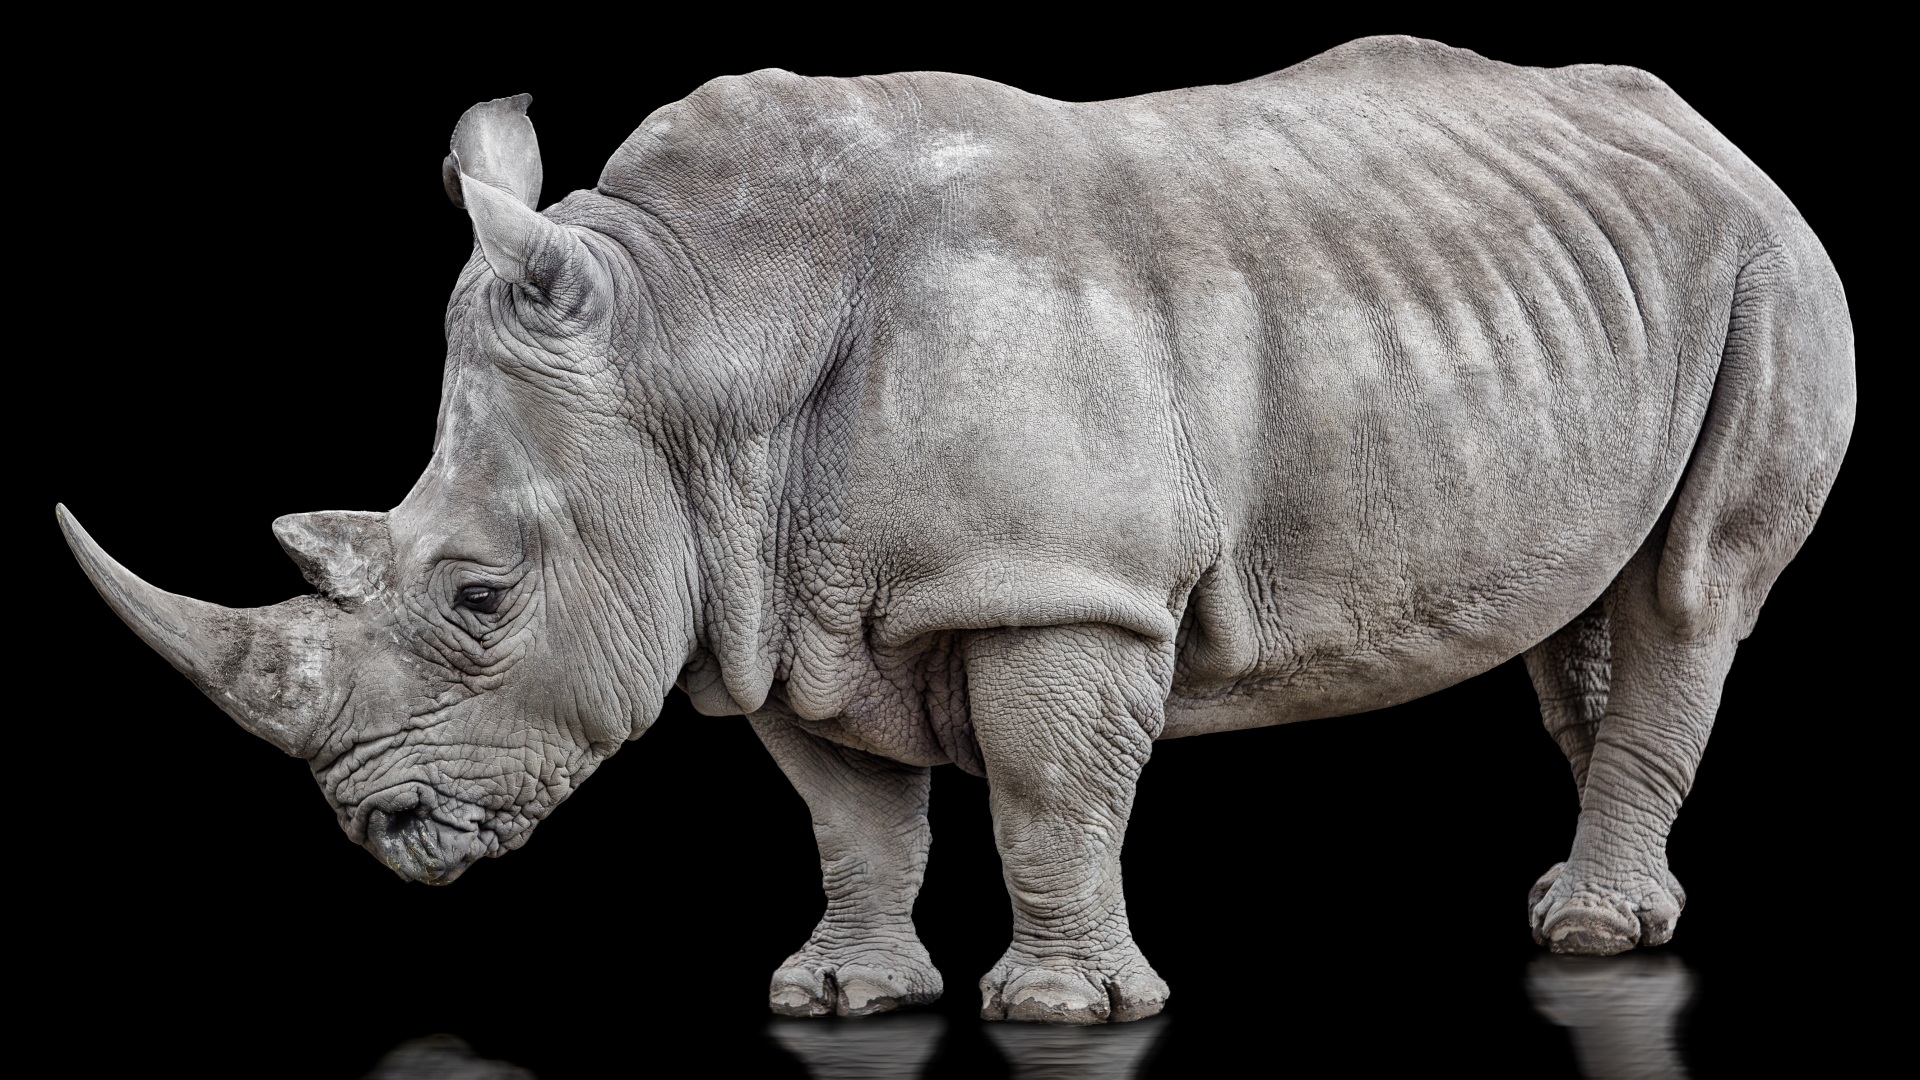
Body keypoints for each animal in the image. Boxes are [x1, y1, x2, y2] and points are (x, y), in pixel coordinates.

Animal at [58, 35, 1852, 1025]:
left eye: (481, 595)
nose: (387, 832)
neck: (694, 337)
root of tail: (1707, 132)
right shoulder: (768, 596)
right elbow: (852, 817)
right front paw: (842, 997)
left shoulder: (1060, 585)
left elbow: (1054, 795)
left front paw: (1066, 1013)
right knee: (1592, 605)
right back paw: (1608, 907)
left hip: (1770, 260)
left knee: (1694, 590)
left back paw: (1595, 934)